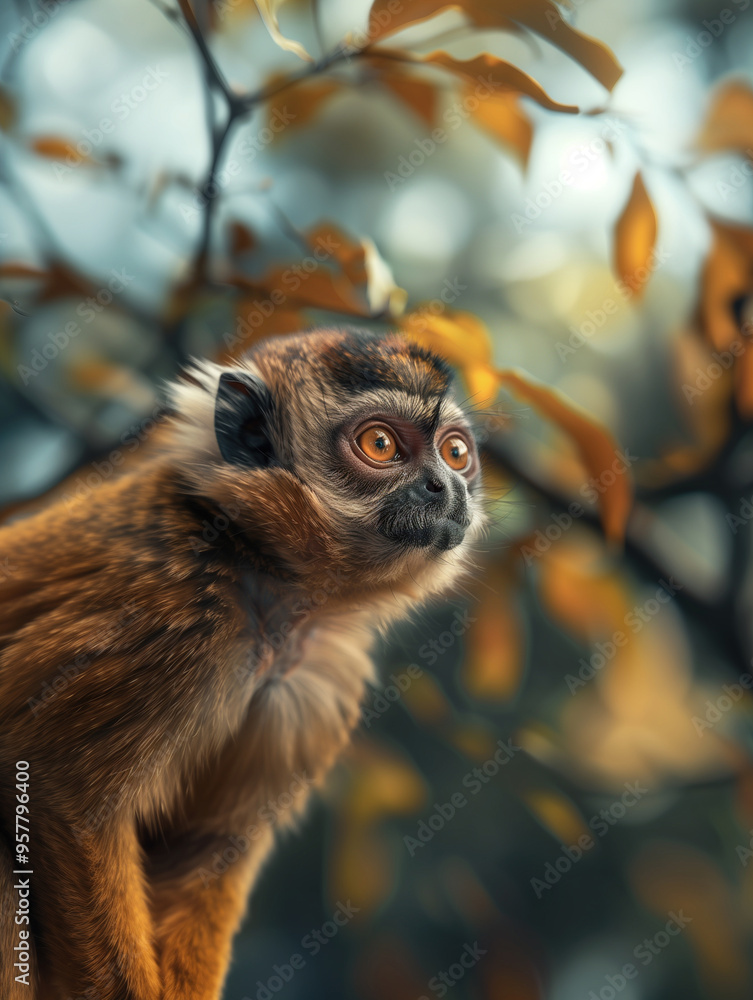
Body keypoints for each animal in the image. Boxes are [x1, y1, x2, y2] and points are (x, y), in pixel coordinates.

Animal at [0, 327, 485, 999]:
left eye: (456, 453)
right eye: (381, 445)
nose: (449, 488)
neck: (262, 573)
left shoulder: (312, 679)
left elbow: (208, 847)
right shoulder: (179, 619)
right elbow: (58, 791)